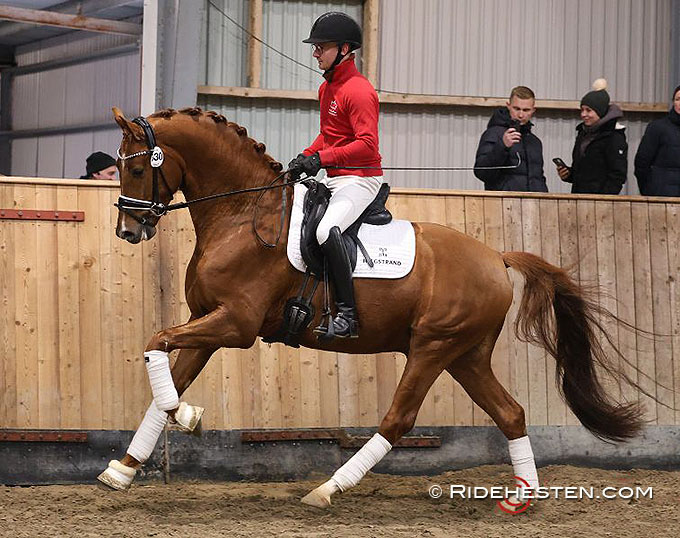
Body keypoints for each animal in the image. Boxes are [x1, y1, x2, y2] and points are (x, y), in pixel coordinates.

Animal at [98, 105, 643, 508]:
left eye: (139, 166)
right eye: (120, 165)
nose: (127, 231)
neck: (242, 214)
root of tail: (496, 257)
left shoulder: (235, 324)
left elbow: (156, 343)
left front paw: (188, 416)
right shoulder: (205, 321)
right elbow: (165, 373)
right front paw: (123, 470)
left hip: (432, 347)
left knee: (398, 420)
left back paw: (327, 489)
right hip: (465, 355)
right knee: (510, 413)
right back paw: (521, 499)